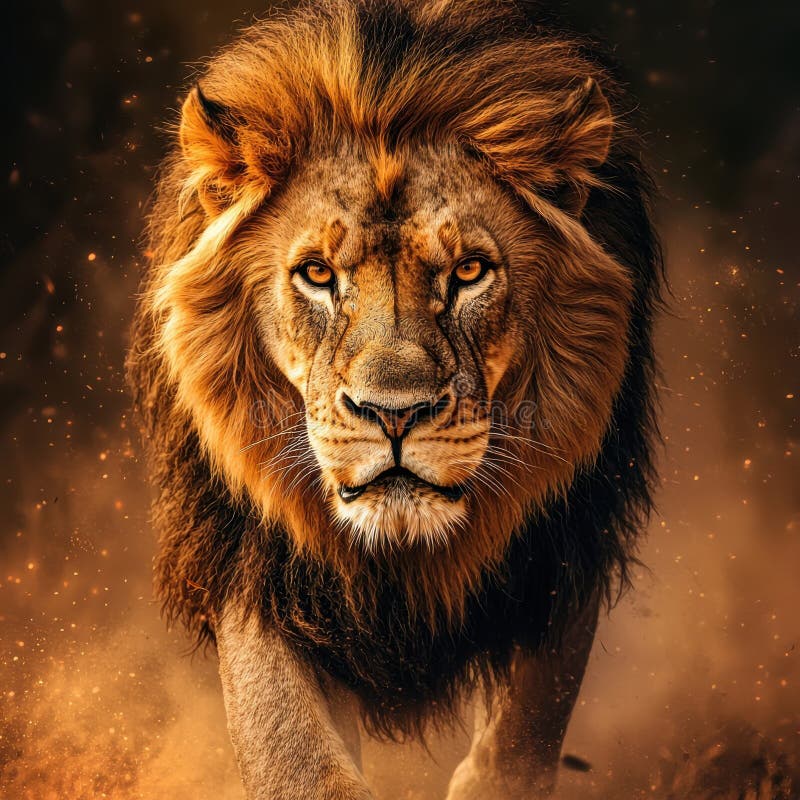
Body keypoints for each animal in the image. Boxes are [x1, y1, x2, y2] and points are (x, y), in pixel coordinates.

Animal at [127, 0, 662, 797]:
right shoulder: (253, 567)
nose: (394, 415)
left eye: (469, 271)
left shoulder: (561, 561)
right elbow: (294, 753)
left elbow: (520, 741)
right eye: (317, 273)